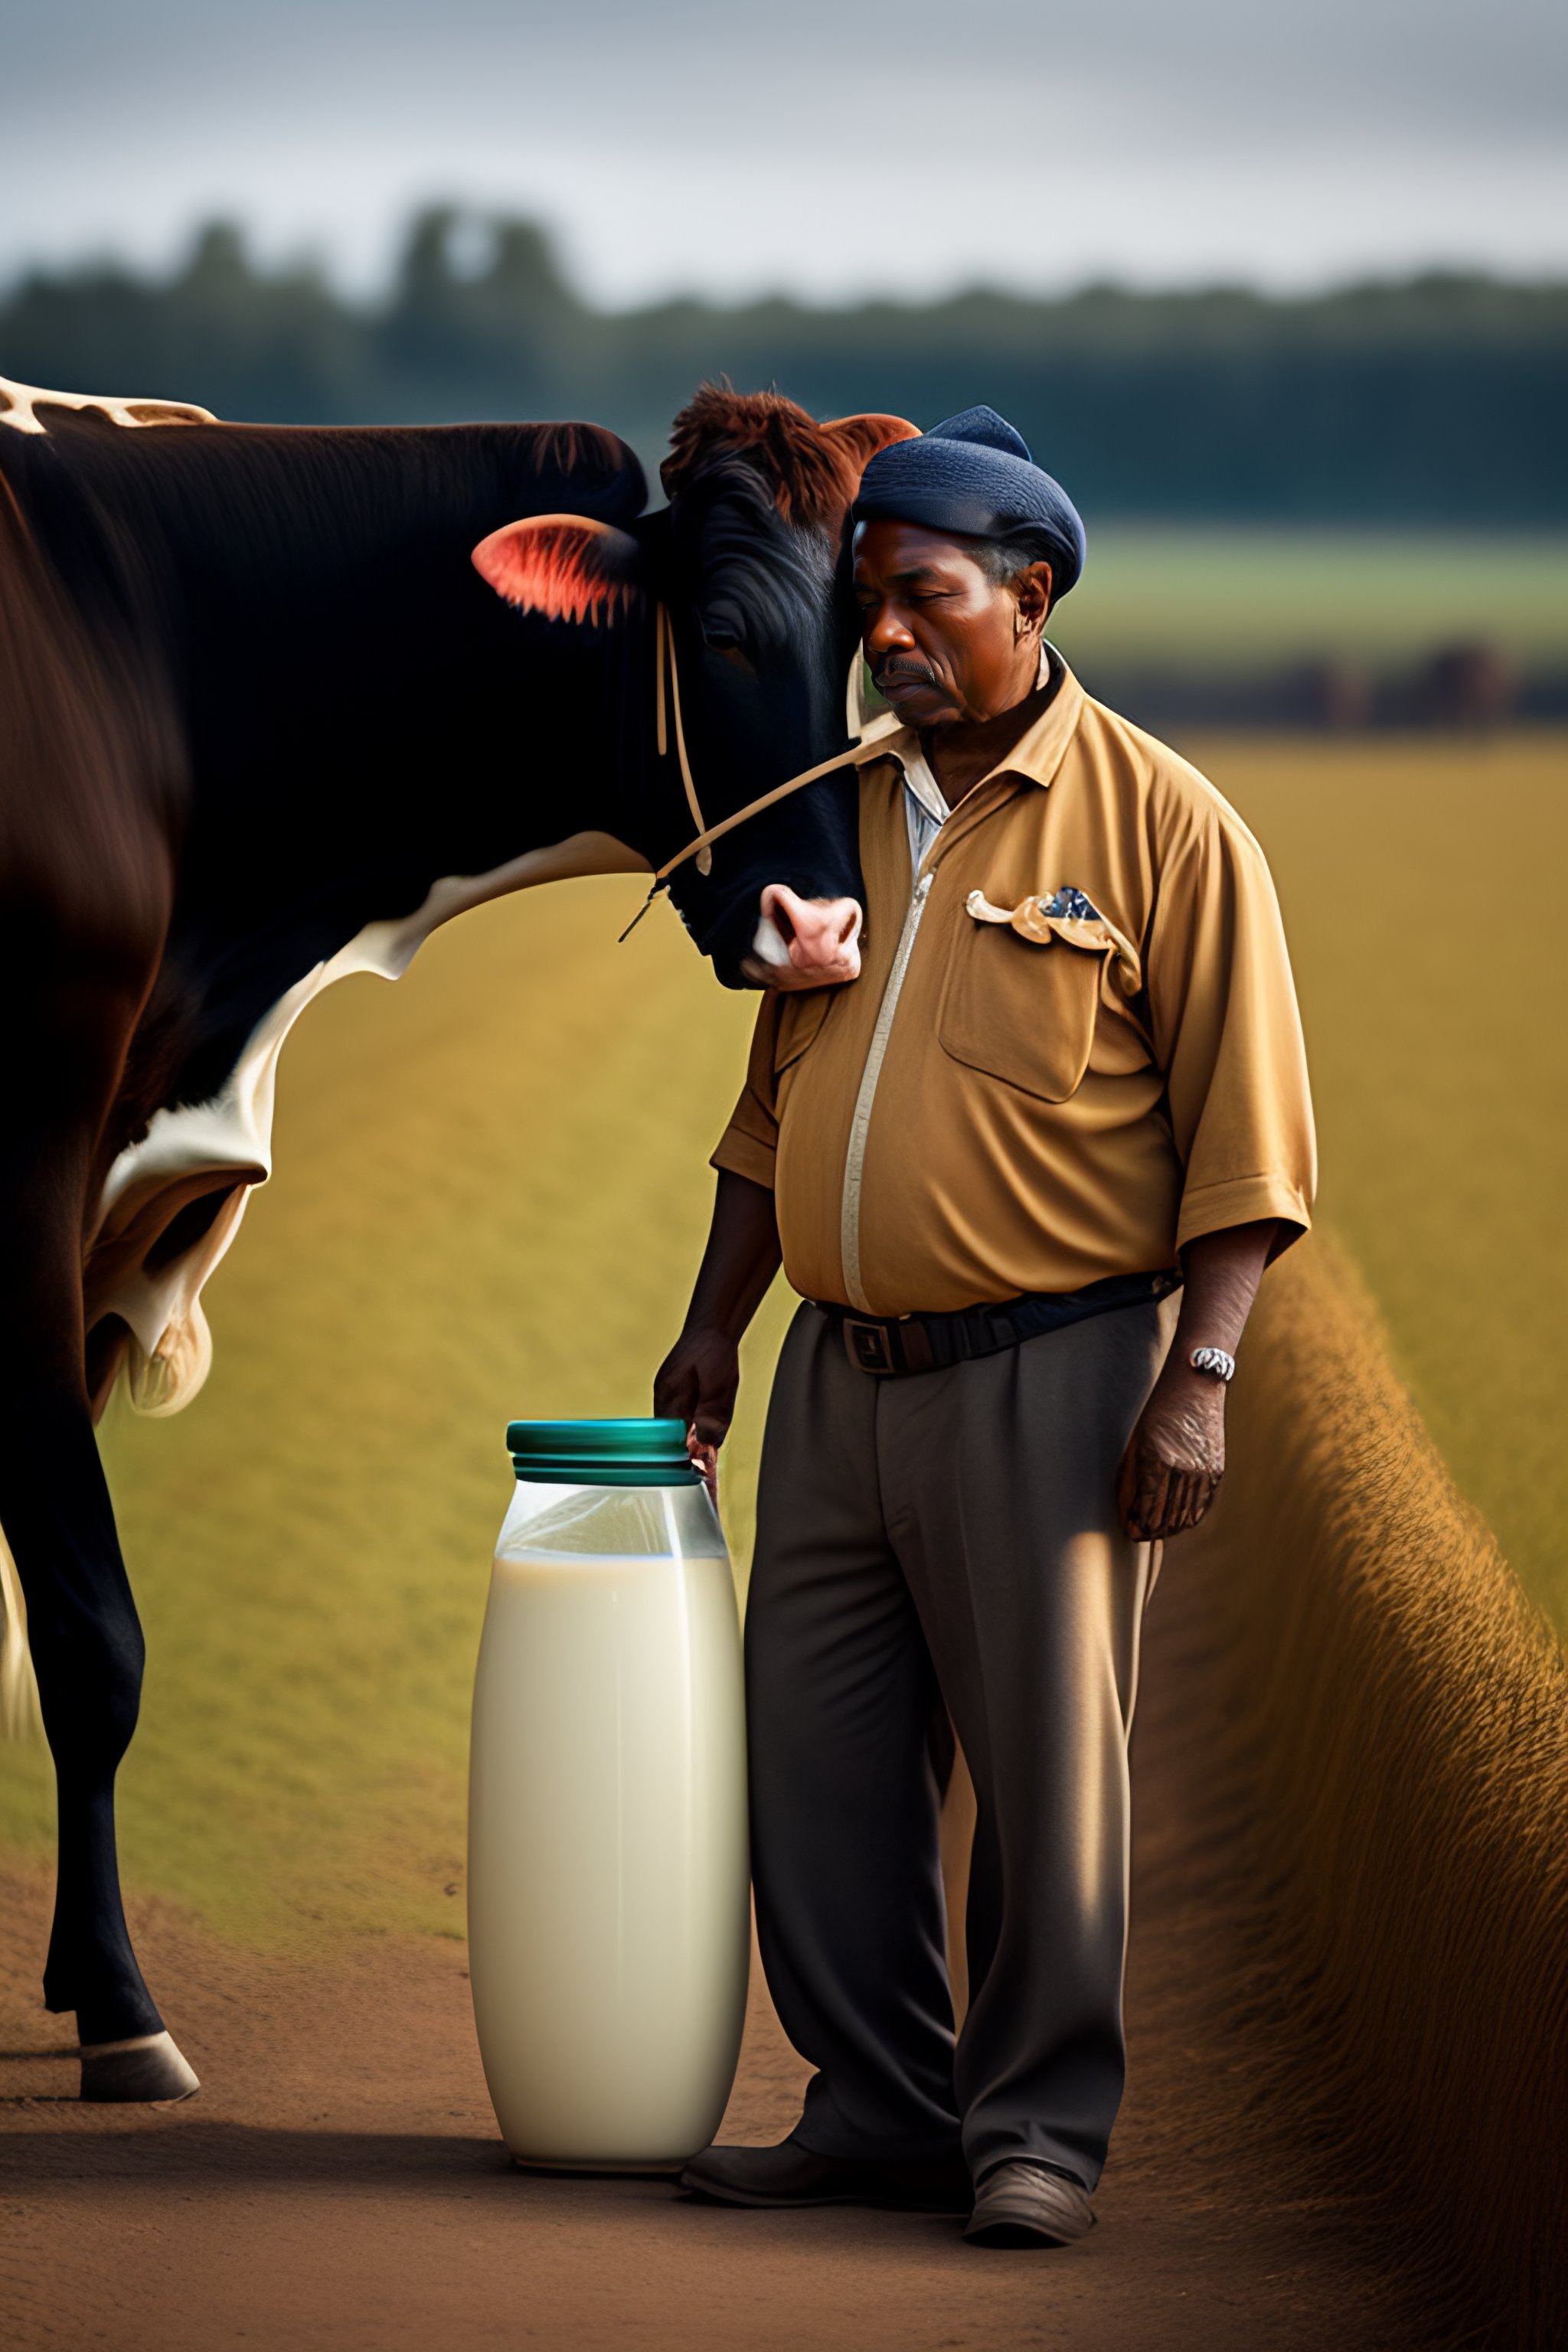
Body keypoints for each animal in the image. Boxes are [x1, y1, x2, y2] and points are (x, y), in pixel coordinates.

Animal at [0, 372, 916, 2099]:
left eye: (867, 641)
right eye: (716, 629)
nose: (827, 932)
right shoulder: (19, 1180)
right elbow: (86, 1633)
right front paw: (125, 2009)